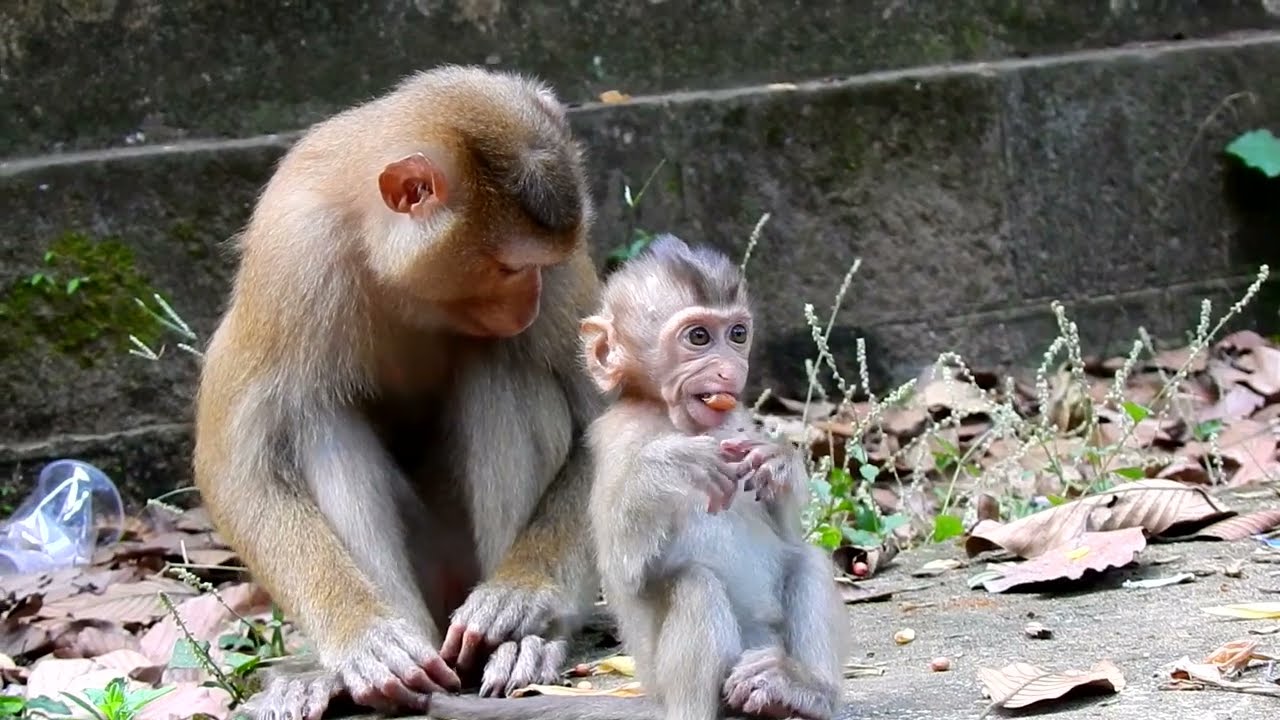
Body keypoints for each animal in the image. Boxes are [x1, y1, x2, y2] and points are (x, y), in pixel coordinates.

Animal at [193, 65, 604, 720]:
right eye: (511, 268)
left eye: (544, 266)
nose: (532, 303)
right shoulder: (291, 254)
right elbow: (240, 469)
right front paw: (362, 636)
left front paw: (519, 596)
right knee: (318, 419)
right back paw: (369, 670)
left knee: (506, 366)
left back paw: (520, 645)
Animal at [413, 234, 849, 720]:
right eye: (699, 337)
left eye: (738, 334)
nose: (730, 370)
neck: (668, 416)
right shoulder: (613, 441)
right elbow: (625, 566)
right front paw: (672, 467)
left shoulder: (738, 422)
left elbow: (787, 531)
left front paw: (778, 460)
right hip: (663, 676)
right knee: (693, 585)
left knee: (807, 560)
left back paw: (797, 690)